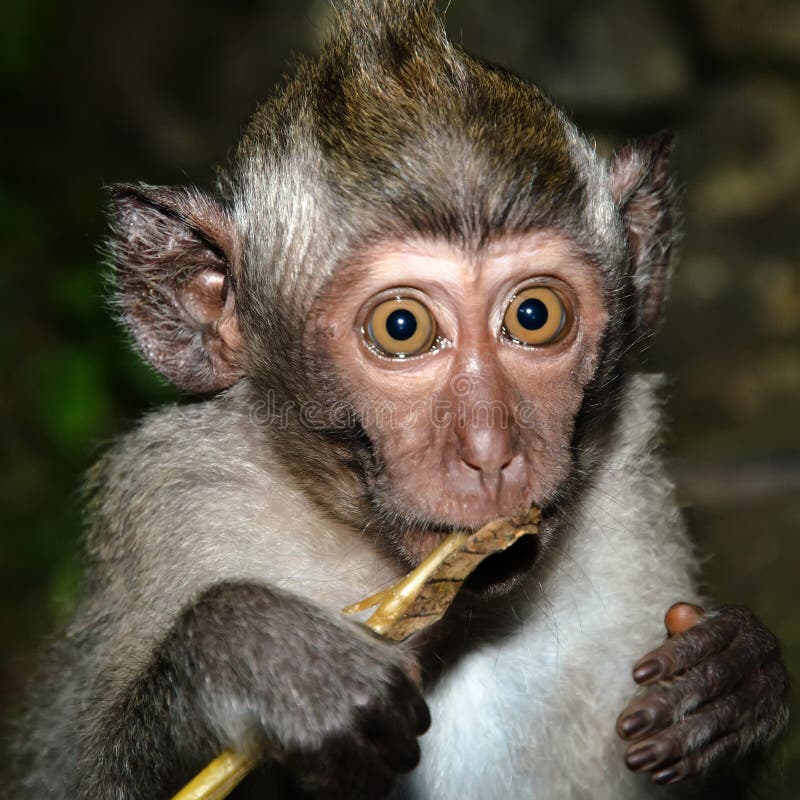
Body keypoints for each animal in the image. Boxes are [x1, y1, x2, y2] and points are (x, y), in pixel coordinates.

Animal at [8, 1, 788, 798]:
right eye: (402, 328)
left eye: (534, 315)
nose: (490, 452)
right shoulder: (183, 501)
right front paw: (257, 660)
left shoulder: (627, 509)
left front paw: (735, 679)